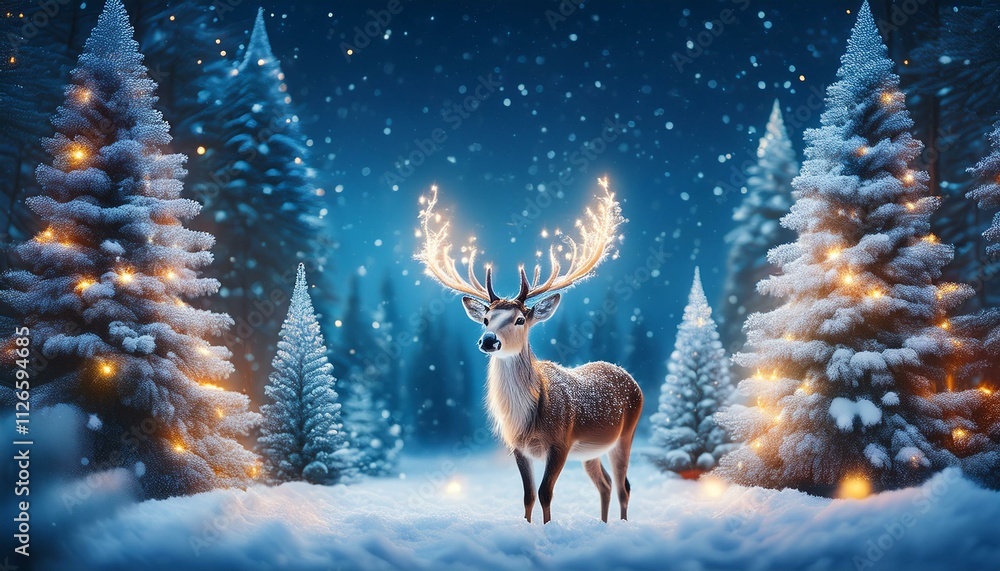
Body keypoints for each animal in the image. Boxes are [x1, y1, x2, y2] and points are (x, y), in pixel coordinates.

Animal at [415, 178, 643, 524]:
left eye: (520, 319)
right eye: (486, 319)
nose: (488, 341)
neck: (527, 421)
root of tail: (628, 376)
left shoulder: (561, 442)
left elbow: (546, 493)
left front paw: (549, 531)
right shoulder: (518, 447)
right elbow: (527, 496)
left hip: (626, 433)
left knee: (623, 486)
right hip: (591, 451)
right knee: (603, 484)